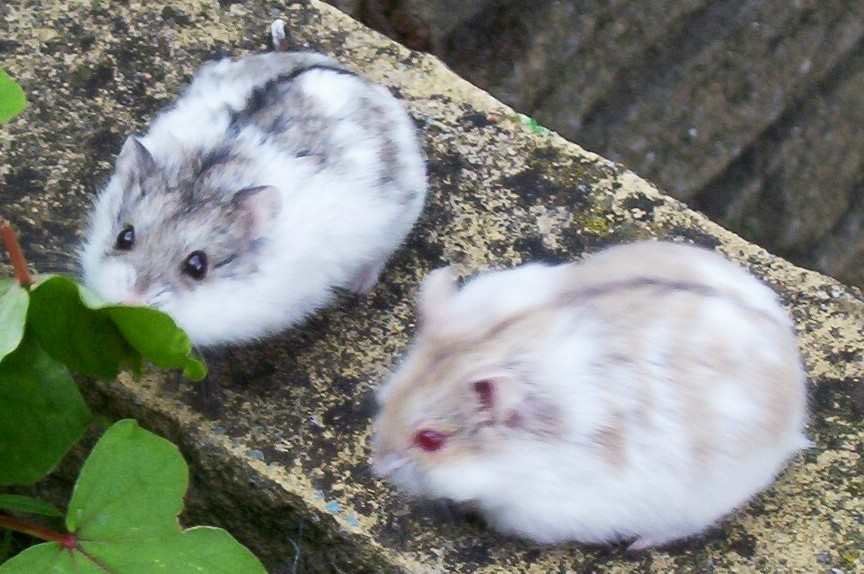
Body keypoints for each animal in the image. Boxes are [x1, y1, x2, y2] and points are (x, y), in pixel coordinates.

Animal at [80, 25, 426, 347]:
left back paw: (360, 286)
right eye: (124, 237)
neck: (208, 178)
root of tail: (362, 81)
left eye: (197, 265)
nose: (129, 301)